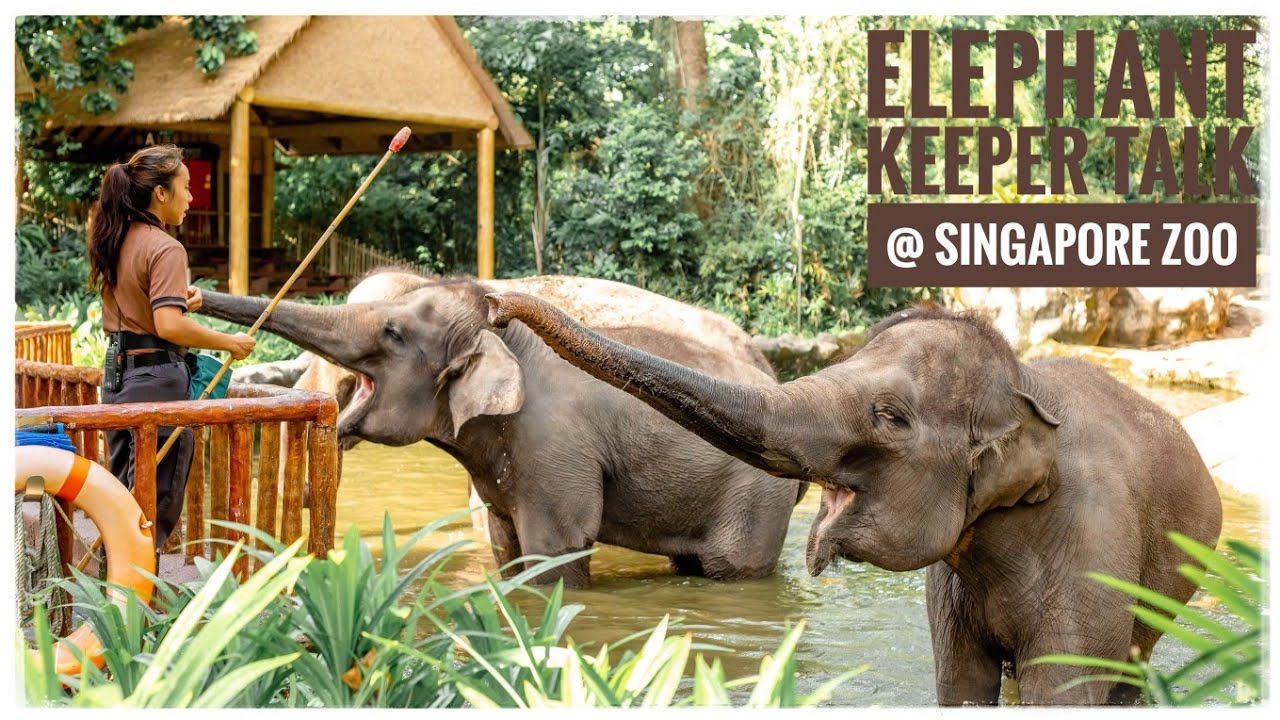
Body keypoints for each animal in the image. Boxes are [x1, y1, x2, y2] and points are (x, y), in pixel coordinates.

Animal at [201, 274, 805, 588]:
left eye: (393, 333)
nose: (193, 296)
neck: (510, 341)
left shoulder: (555, 455)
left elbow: (554, 549)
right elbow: (504, 546)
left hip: (755, 499)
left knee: (733, 567)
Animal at [485, 293, 1224, 706]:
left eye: (891, 417)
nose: (497, 306)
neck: (1025, 387)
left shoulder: (1092, 547)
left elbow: (1063, 688)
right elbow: (960, 685)